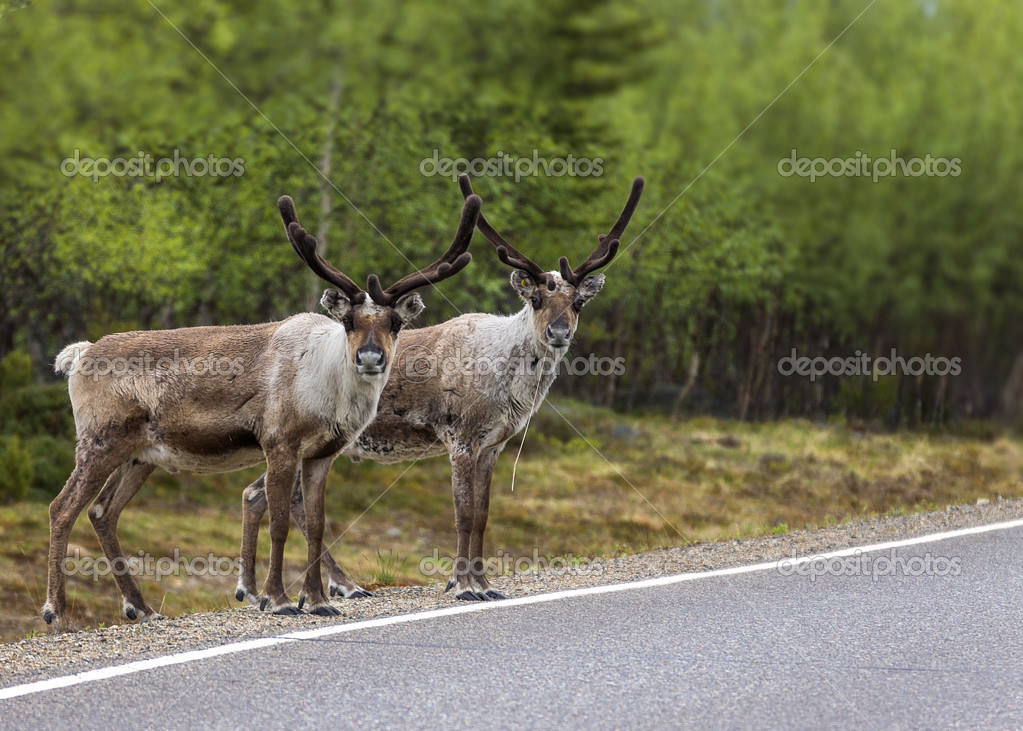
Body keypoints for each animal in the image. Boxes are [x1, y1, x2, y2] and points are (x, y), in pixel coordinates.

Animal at [41, 191, 481, 626]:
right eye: (349, 321)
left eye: (395, 323)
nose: (370, 357)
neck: (327, 388)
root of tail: (78, 355)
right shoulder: (279, 443)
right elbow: (281, 523)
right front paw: (278, 598)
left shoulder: (322, 454)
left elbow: (317, 525)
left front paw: (318, 600)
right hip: (100, 441)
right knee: (62, 508)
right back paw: (57, 612)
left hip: (140, 455)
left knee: (102, 512)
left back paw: (141, 607)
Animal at [236, 175, 644, 602]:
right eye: (535, 298)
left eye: (578, 302)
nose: (559, 332)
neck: (508, 383)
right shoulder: (459, 436)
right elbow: (463, 514)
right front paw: (463, 585)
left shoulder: (493, 444)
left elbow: (483, 514)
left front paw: (485, 584)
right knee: (277, 497)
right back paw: (315, 586)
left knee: (261, 494)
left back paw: (275, 586)